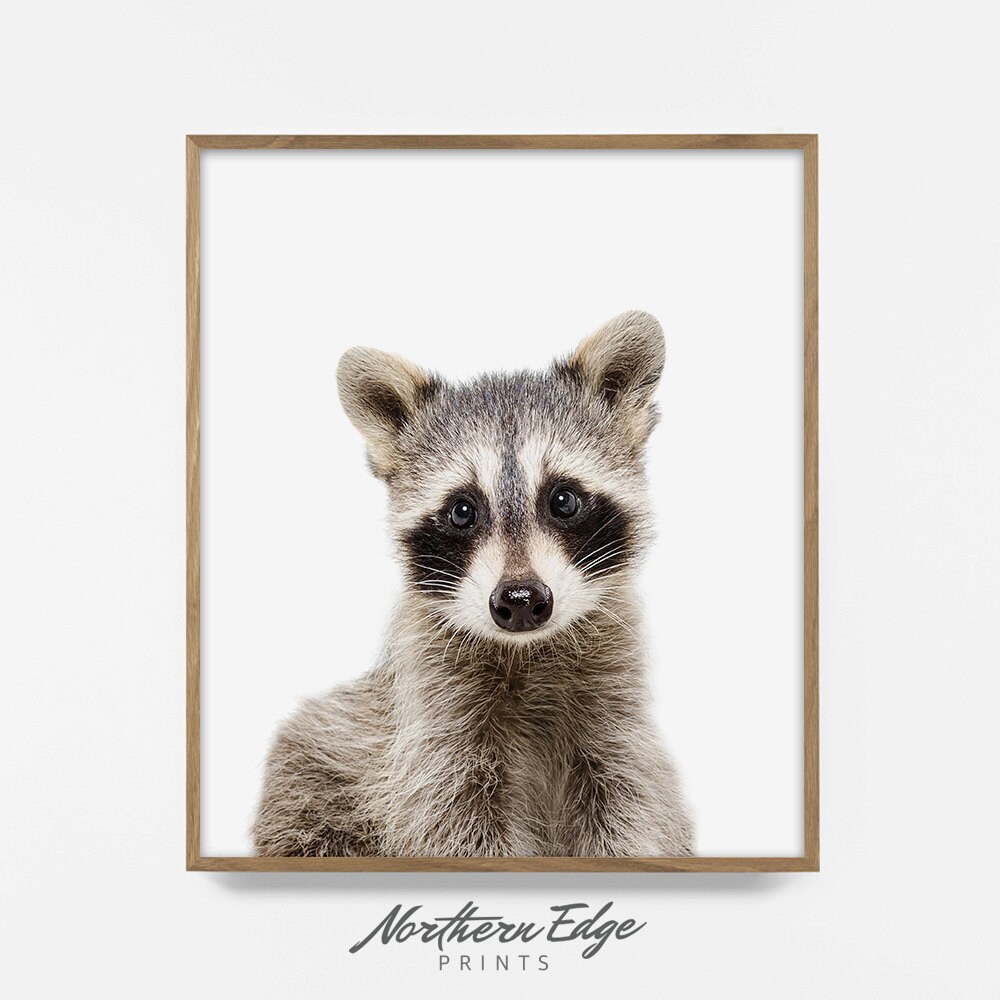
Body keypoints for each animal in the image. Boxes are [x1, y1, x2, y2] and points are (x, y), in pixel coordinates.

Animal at [252, 310, 694, 857]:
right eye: (463, 511)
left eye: (564, 500)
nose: (521, 600)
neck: (527, 650)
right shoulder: (434, 728)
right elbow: (455, 822)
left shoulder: (616, 721)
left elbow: (630, 808)